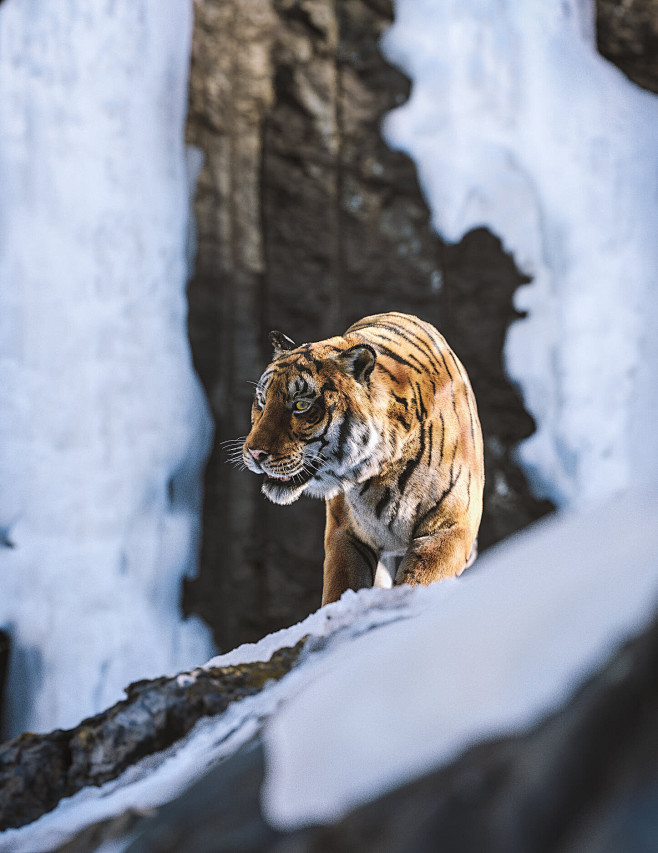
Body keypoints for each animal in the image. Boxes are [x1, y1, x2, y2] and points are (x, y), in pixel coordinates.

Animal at [242, 312, 484, 605]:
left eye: (301, 405)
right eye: (262, 401)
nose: (254, 453)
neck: (386, 470)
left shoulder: (449, 527)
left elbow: (419, 580)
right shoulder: (346, 532)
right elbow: (339, 589)